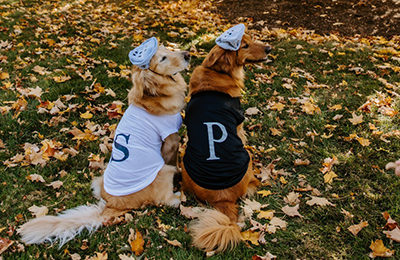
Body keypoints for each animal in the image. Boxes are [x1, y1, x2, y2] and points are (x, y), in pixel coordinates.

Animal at [19, 38, 191, 246]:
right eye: (163, 58)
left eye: (167, 48)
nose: (188, 54)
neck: (154, 94)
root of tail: (110, 205)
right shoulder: (171, 139)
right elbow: (176, 161)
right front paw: (181, 174)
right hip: (162, 171)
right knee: (165, 198)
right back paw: (178, 197)